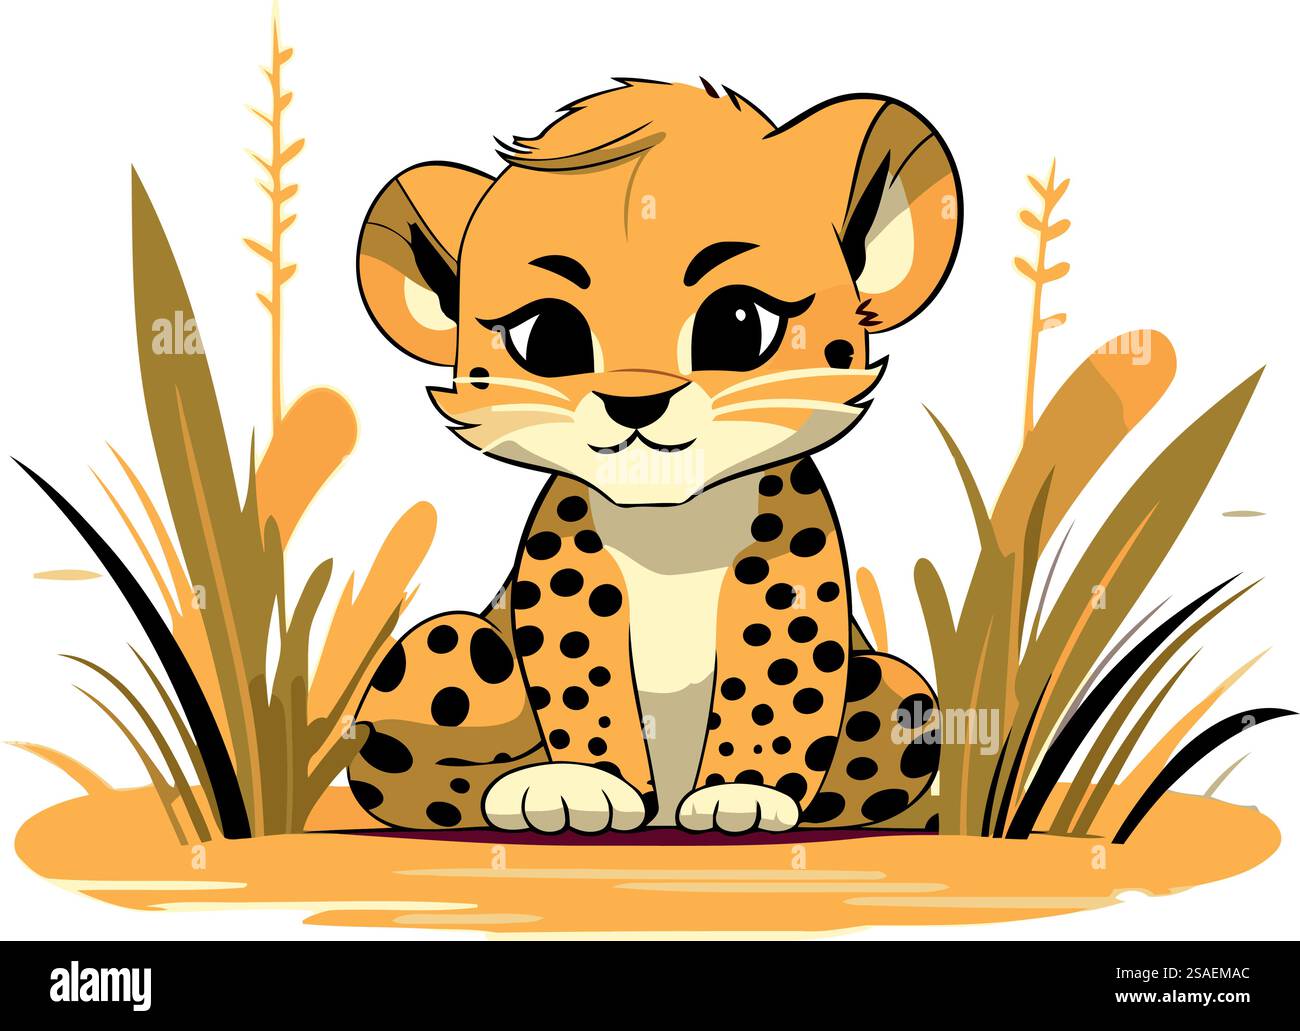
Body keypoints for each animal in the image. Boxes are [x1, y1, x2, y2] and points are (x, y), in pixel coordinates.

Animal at [347, 78, 960, 834]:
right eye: (548, 336)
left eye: (737, 322)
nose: (635, 403)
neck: (670, 527)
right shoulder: (565, 569)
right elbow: (582, 677)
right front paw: (583, 784)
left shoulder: (792, 570)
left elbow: (778, 678)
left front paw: (744, 792)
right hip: (457, 644)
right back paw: (517, 787)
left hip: (893, 688)